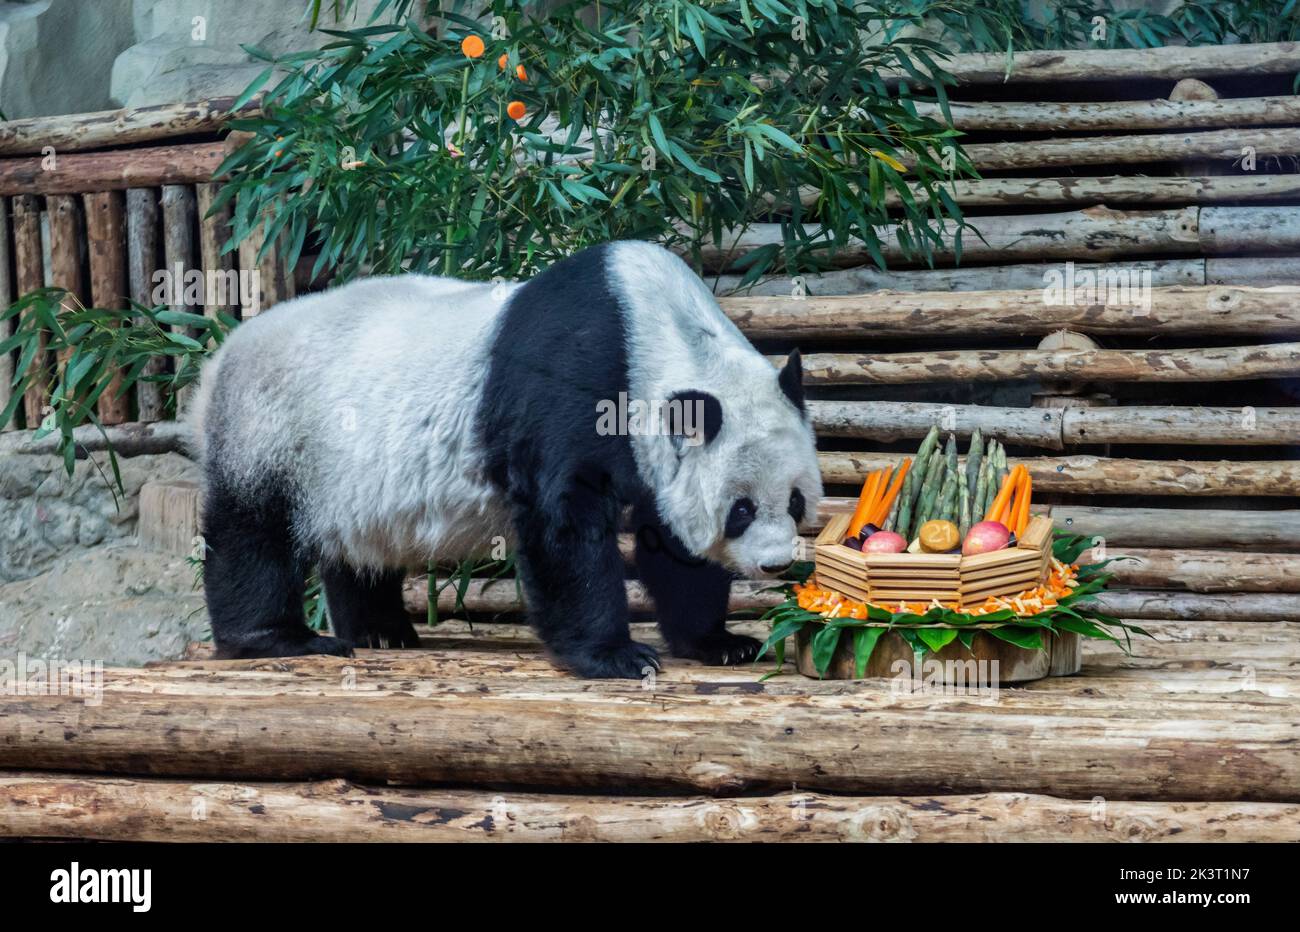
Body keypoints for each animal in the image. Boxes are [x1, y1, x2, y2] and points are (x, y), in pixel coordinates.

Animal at [186, 240, 822, 678]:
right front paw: (617, 656)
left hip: (343, 469)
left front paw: (721, 644)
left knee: (358, 544)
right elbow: (561, 522)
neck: (657, 330)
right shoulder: (577, 385)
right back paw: (276, 638)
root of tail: (218, 360)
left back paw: (382, 631)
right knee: (253, 533)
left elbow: (669, 540)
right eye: (741, 509)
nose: (774, 565)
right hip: (272, 428)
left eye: (795, 501)